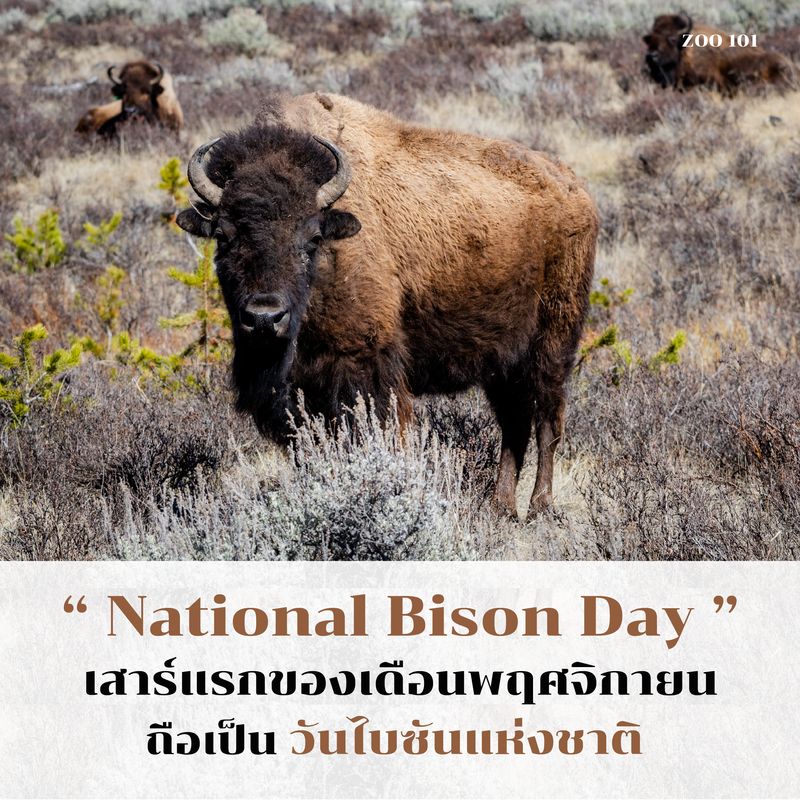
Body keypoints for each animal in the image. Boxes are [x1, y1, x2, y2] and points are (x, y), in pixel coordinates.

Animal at [176, 93, 598, 517]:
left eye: (312, 239)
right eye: (224, 237)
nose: (265, 318)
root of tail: (576, 190)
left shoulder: (365, 369)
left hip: (552, 345)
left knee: (547, 421)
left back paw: (539, 506)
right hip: (502, 362)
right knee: (514, 425)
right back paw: (501, 506)